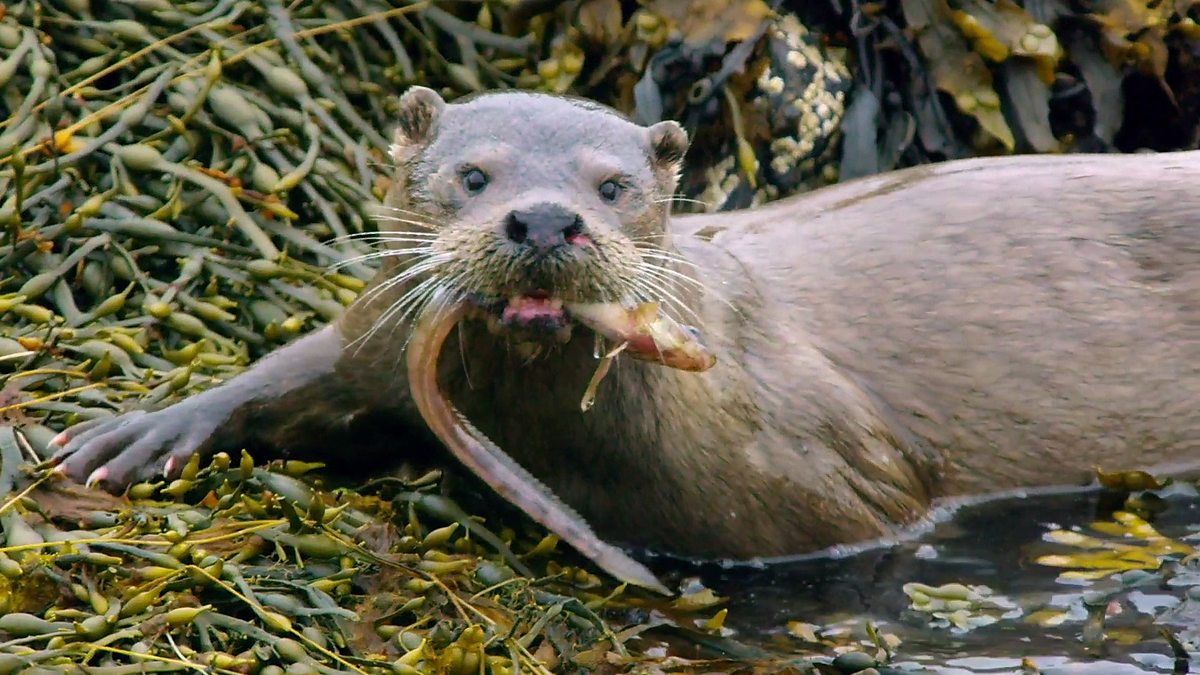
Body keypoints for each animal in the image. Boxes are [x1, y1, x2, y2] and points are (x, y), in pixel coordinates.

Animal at [51, 87, 1200, 564]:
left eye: (614, 187)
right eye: (474, 175)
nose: (546, 219)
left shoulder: (839, 485)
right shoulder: (378, 338)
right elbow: (306, 366)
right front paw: (141, 432)